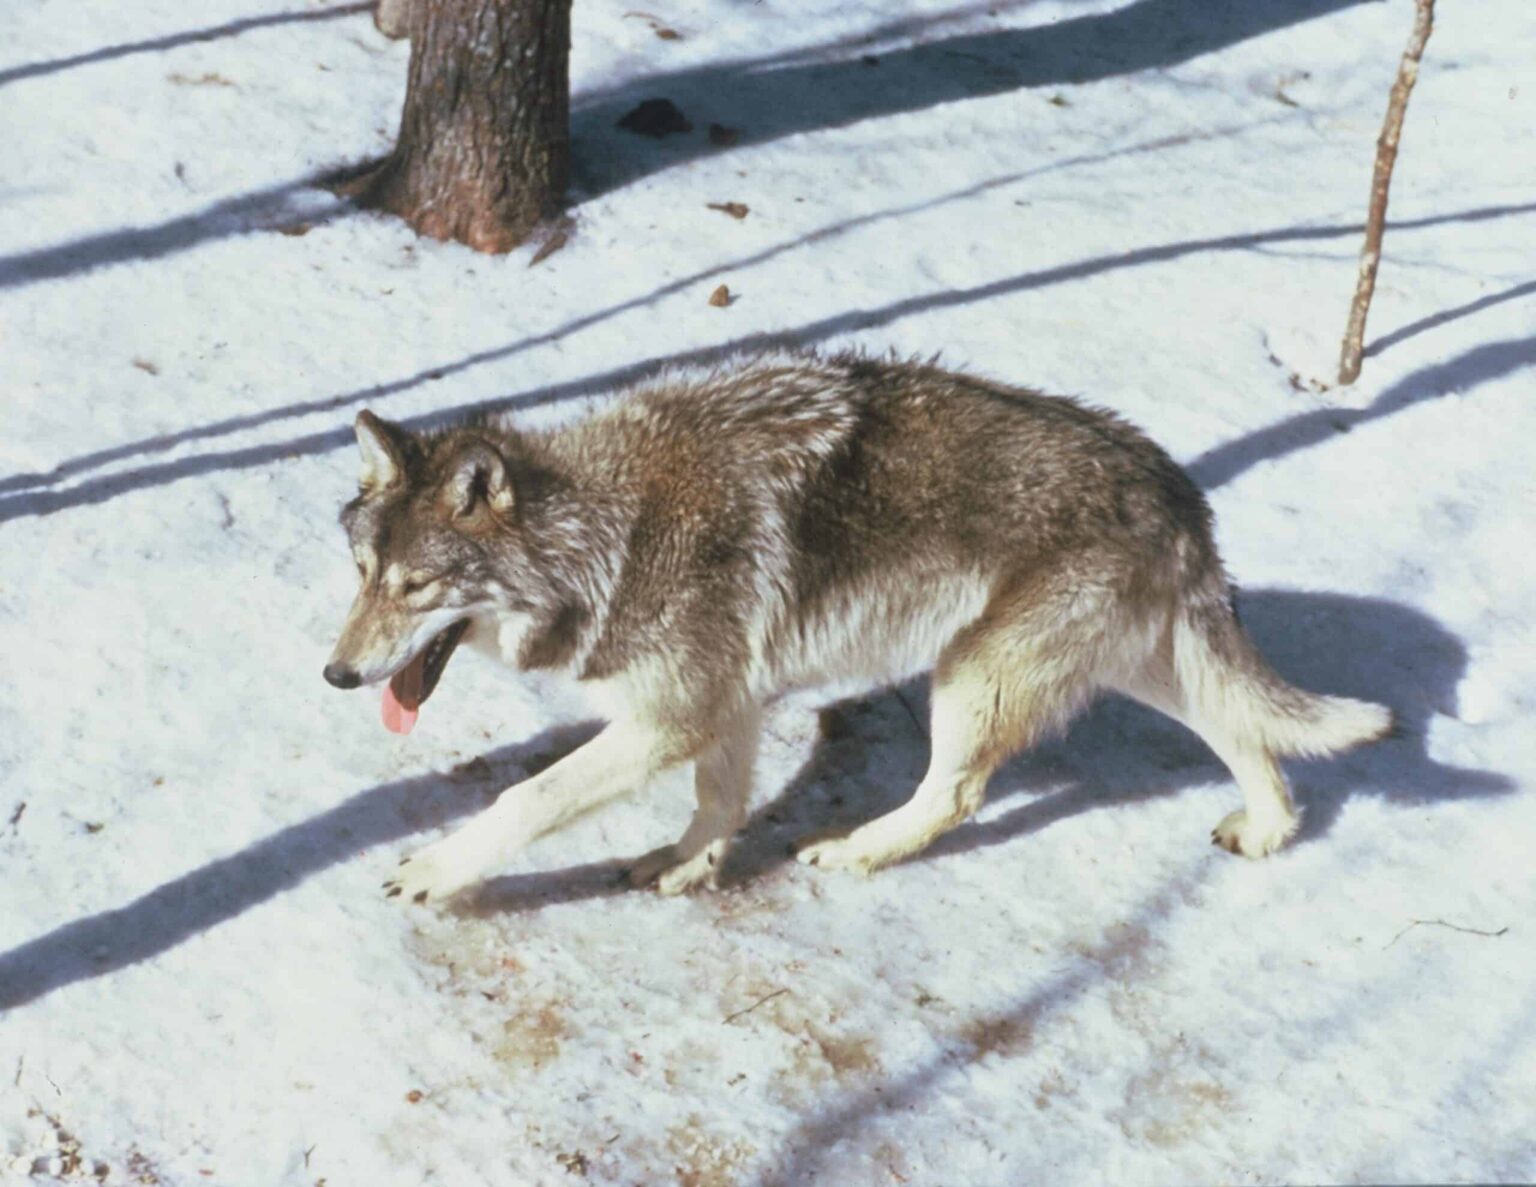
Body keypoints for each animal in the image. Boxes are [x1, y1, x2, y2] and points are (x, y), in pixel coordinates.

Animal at [323, 352, 1391, 903]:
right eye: (363, 574)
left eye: (417, 586)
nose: (336, 676)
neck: (605, 539)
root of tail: (1175, 485)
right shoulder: (731, 703)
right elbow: (718, 799)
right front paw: (687, 863)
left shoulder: (671, 717)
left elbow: (525, 800)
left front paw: (435, 870)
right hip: (1128, 666)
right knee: (1247, 733)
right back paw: (1268, 831)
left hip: (973, 679)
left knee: (955, 795)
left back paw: (851, 852)